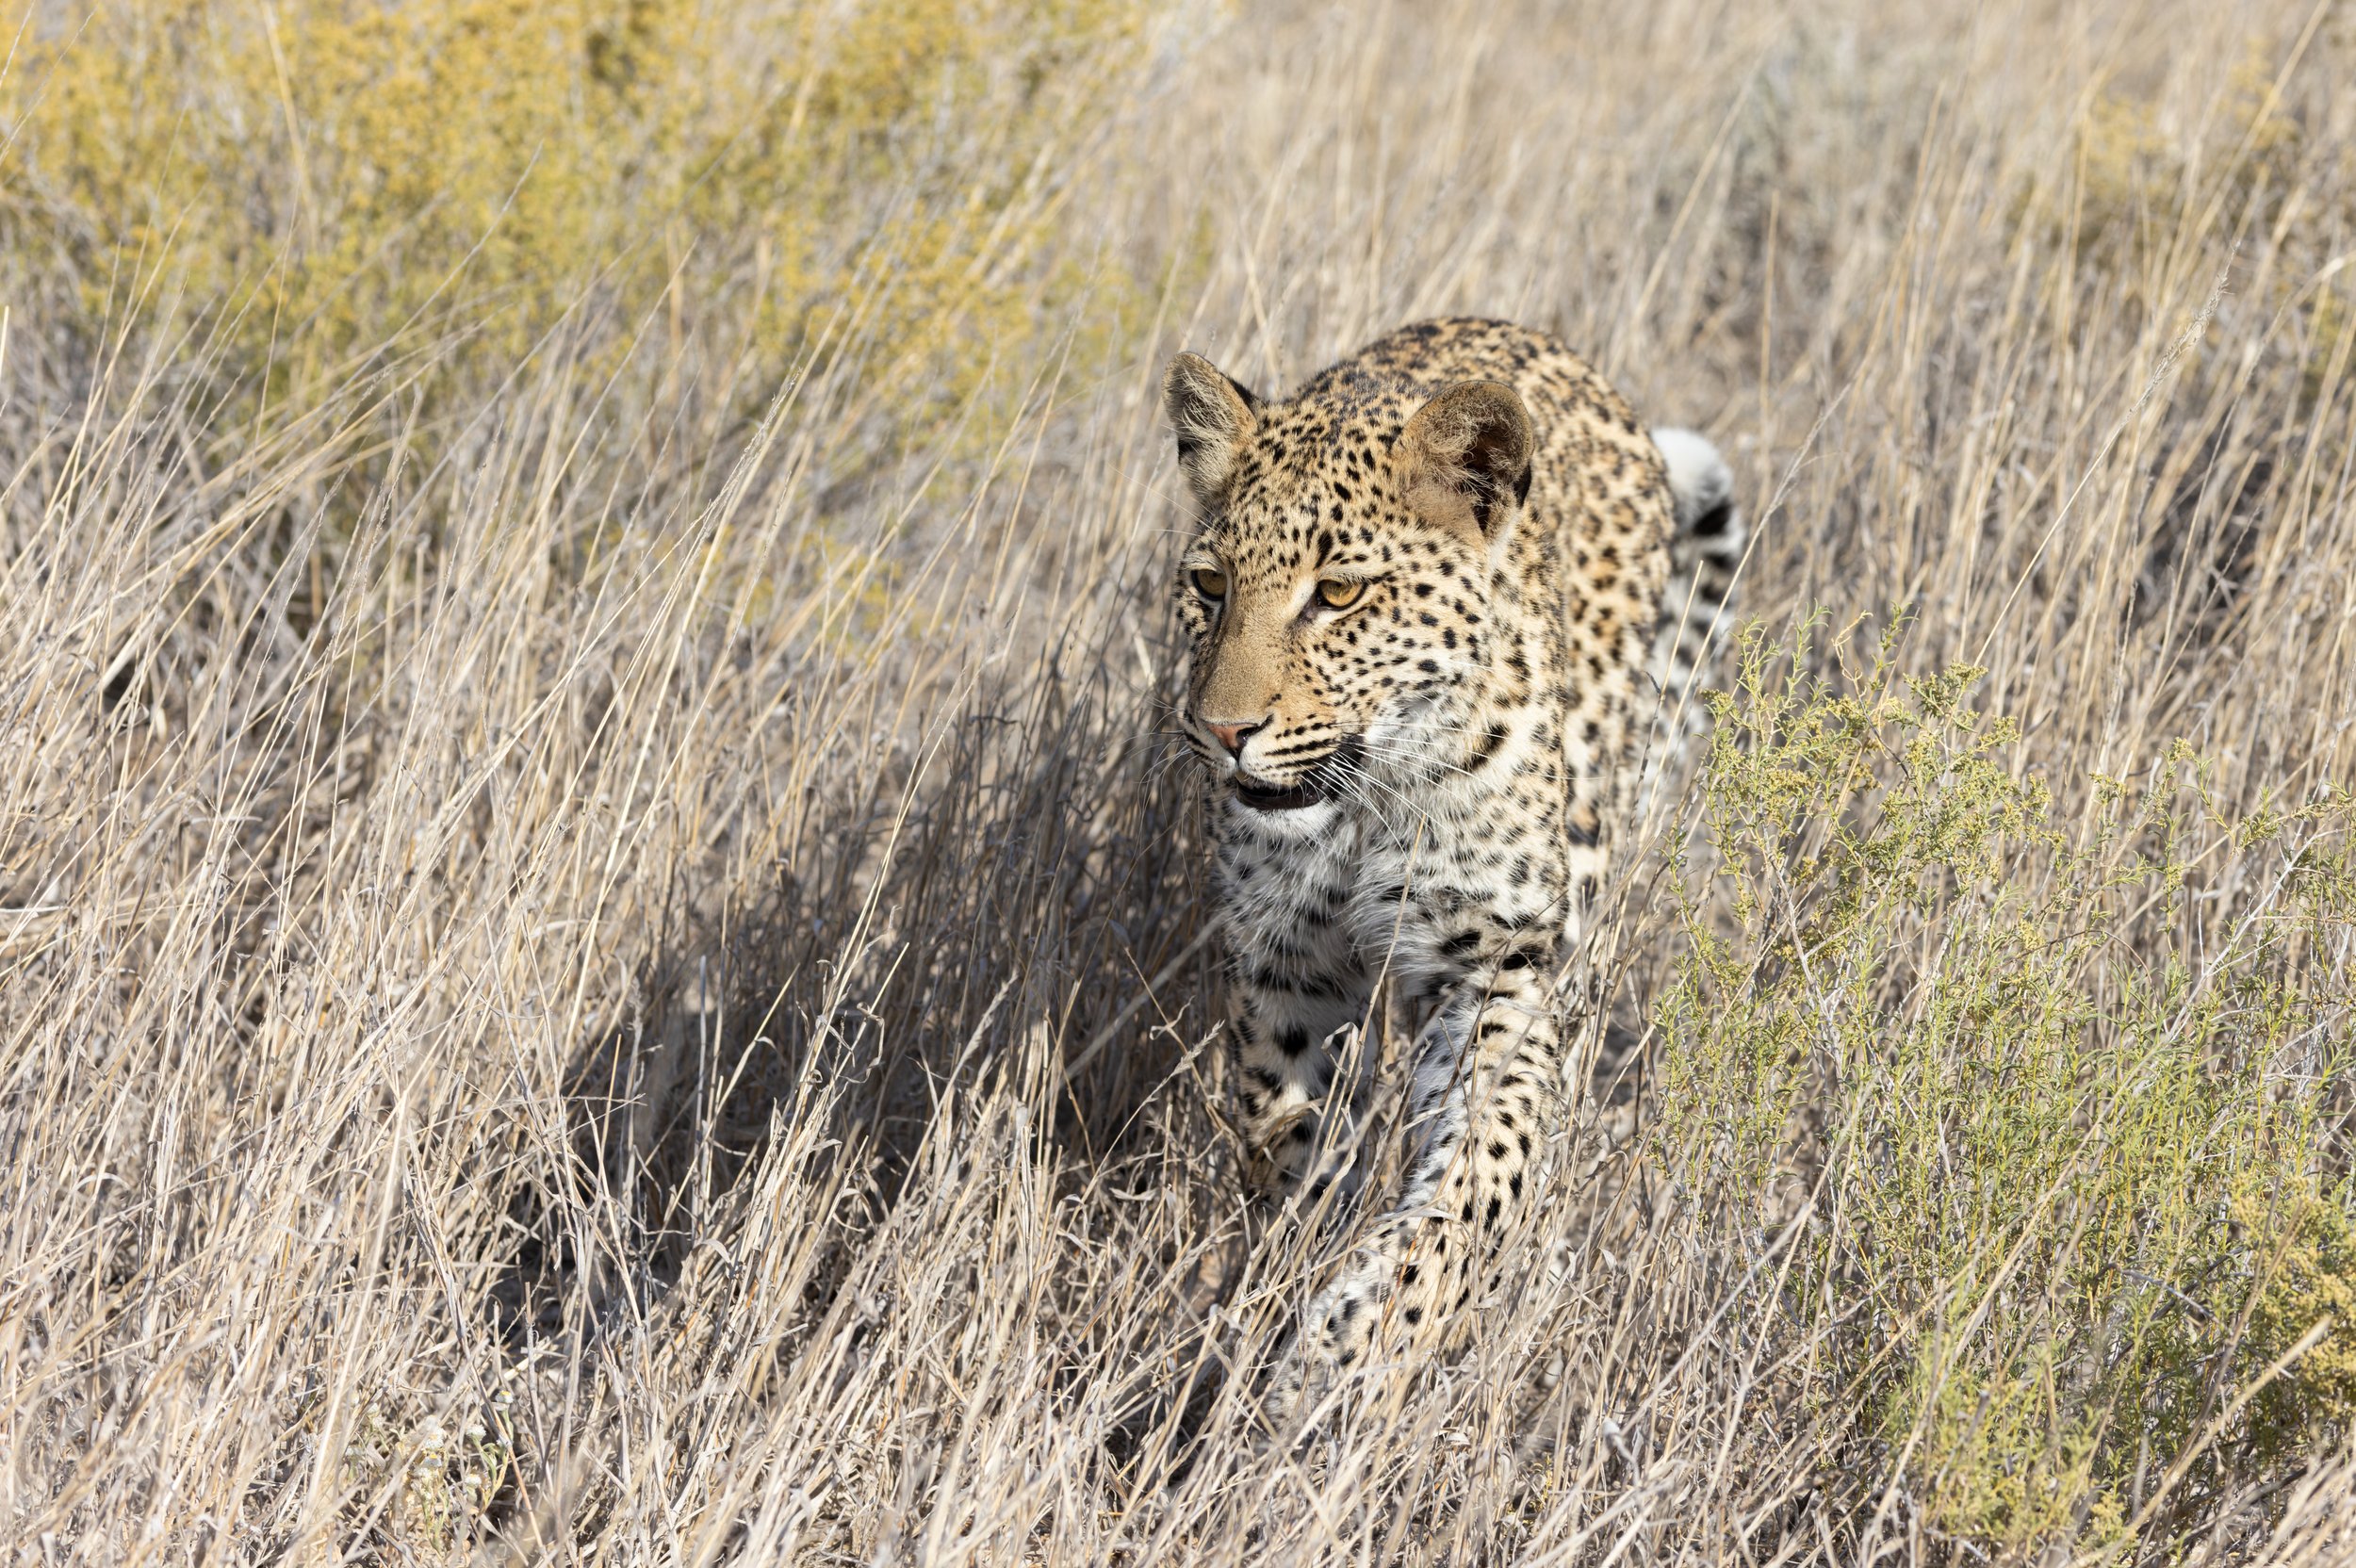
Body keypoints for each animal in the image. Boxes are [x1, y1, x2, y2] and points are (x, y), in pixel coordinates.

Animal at [1160, 317, 1741, 1424]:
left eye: (1337, 594)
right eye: (1211, 586)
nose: (1222, 731)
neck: (1364, 803)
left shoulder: (1498, 965)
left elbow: (1479, 1174)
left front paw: (1356, 1342)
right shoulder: (1289, 961)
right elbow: (1290, 1142)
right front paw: (1288, 1278)